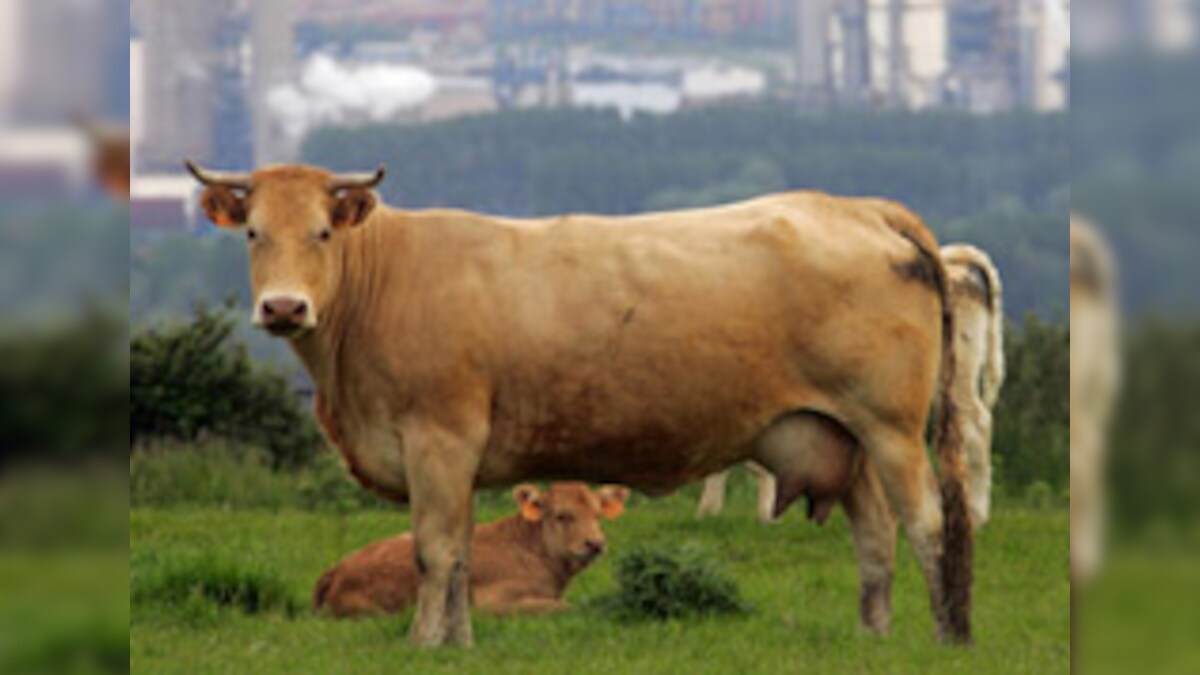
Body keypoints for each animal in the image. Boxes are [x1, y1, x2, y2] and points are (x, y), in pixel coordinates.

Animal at [314, 482, 629, 618]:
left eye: (598, 515)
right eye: (563, 515)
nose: (595, 543)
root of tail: (338, 568)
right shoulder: (494, 602)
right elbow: (568, 607)